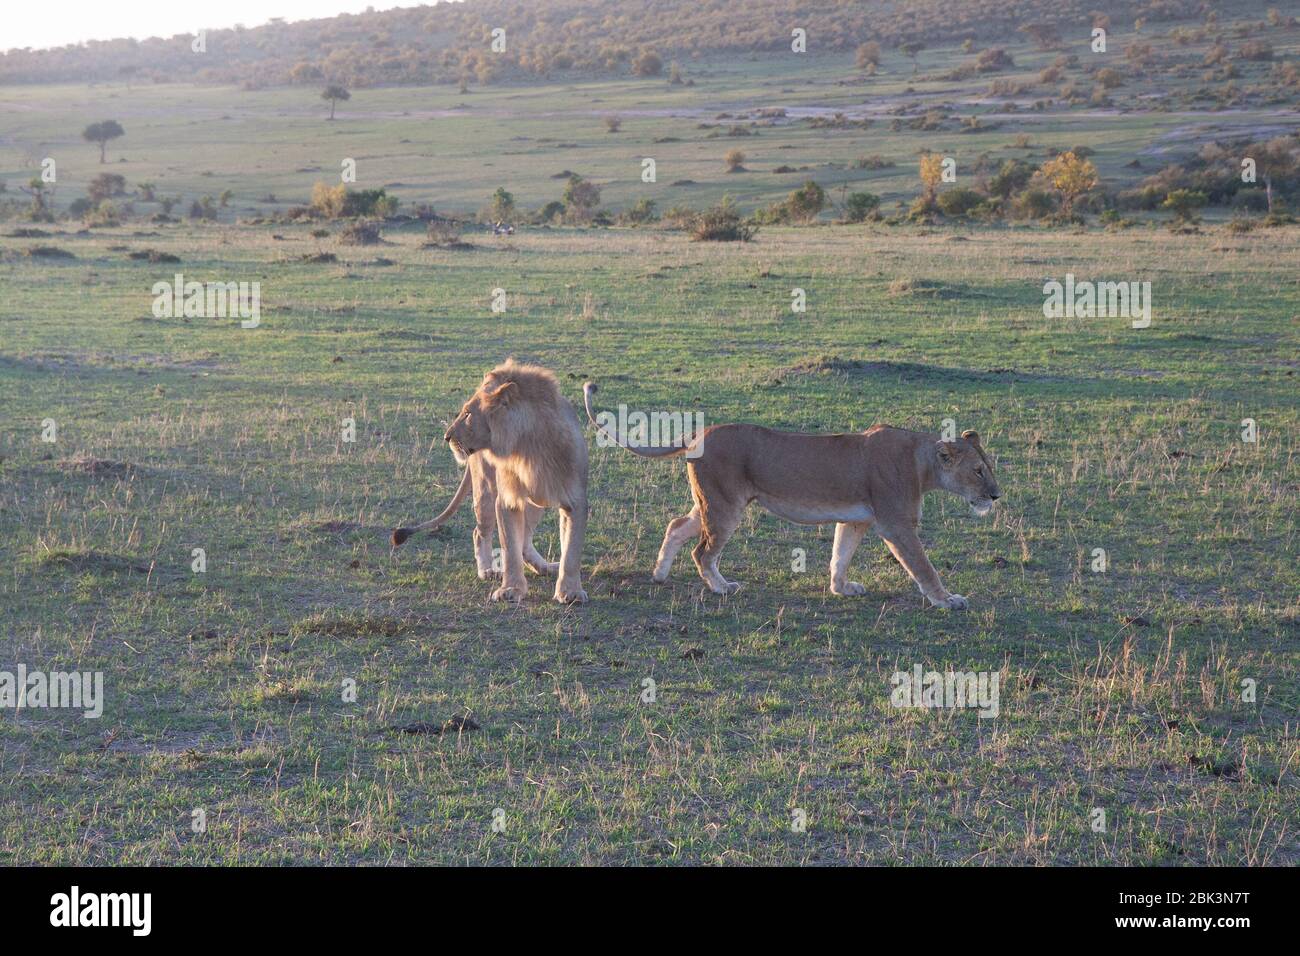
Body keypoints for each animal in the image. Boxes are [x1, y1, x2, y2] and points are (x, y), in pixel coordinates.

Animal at [436, 360, 589, 603]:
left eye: (468, 414)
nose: (447, 437)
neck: (530, 448)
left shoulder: (575, 501)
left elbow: (571, 551)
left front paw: (570, 591)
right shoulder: (507, 501)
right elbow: (510, 549)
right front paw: (511, 589)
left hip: (536, 503)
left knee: (525, 541)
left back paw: (544, 567)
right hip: (486, 492)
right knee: (480, 532)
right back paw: (487, 570)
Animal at [583, 382, 1000, 609]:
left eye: (989, 466)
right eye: (978, 471)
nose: (995, 496)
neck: (921, 463)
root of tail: (699, 432)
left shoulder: (856, 520)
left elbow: (840, 555)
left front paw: (841, 588)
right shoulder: (896, 524)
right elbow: (923, 567)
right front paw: (947, 599)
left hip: (710, 502)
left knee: (676, 525)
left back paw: (659, 575)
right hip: (725, 506)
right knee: (702, 551)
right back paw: (721, 587)